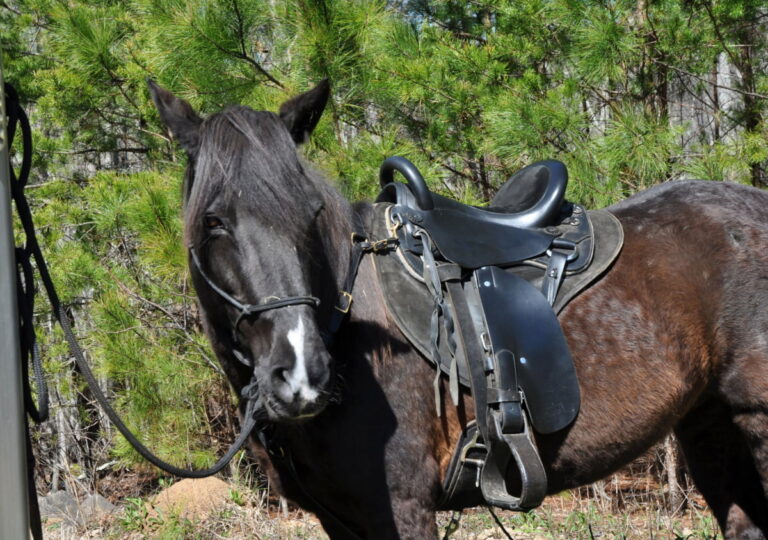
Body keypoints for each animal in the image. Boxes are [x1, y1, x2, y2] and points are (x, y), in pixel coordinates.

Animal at [148, 79, 768, 539]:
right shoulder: (340, 519)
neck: (348, 330)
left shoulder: (401, 508)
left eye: (311, 211)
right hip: (709, 426)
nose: (303, 374)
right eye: (214, 221)